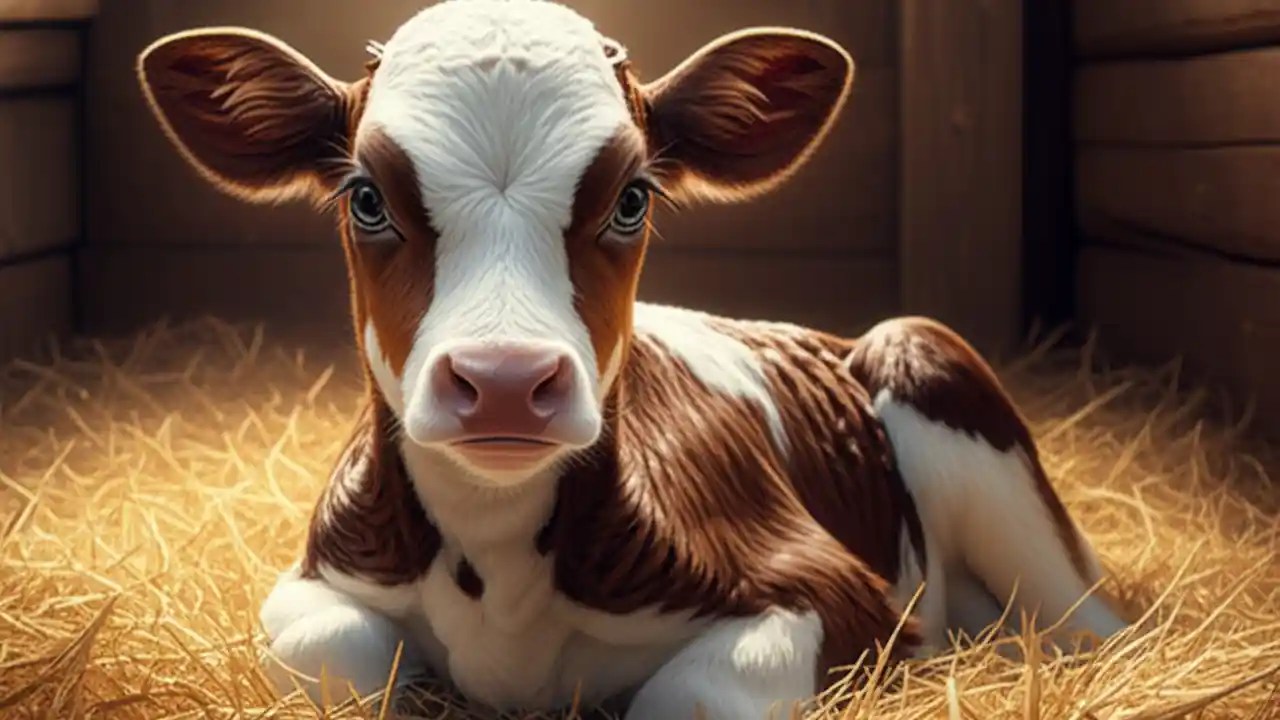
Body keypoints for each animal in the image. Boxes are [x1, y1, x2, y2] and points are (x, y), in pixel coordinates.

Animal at [135, 1, 1128, 717]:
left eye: (632, 199)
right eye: (366, 198)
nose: (504, 384)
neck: (499, 564)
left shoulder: (836, 596)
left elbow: (694, 695)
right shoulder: (317, 579)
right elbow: (334, 657)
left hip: (937, 371)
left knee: (1091, 626)